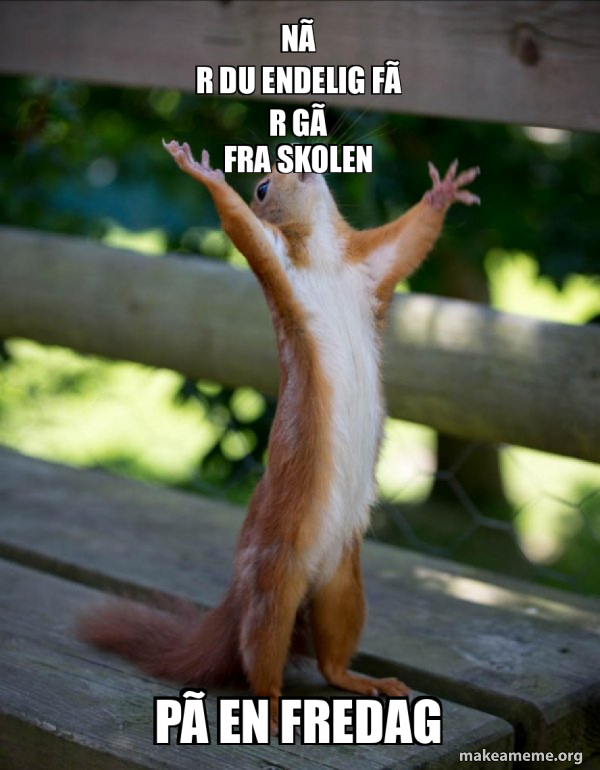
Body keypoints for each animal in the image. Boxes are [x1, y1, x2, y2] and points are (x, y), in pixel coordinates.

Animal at [78, 140, 479, 734]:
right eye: (262, 184)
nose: (301, 159)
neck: (326, 257)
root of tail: (239, 595)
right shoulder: (278, 266)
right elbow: (240, 226)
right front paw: (204, 174)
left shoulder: (371, 267)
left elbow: (410, 240)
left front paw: (443, 193)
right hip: (274, 582)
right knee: (259, 655)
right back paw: (269, 706)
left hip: (344, 584)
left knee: (332, 657)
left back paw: (364, 680)